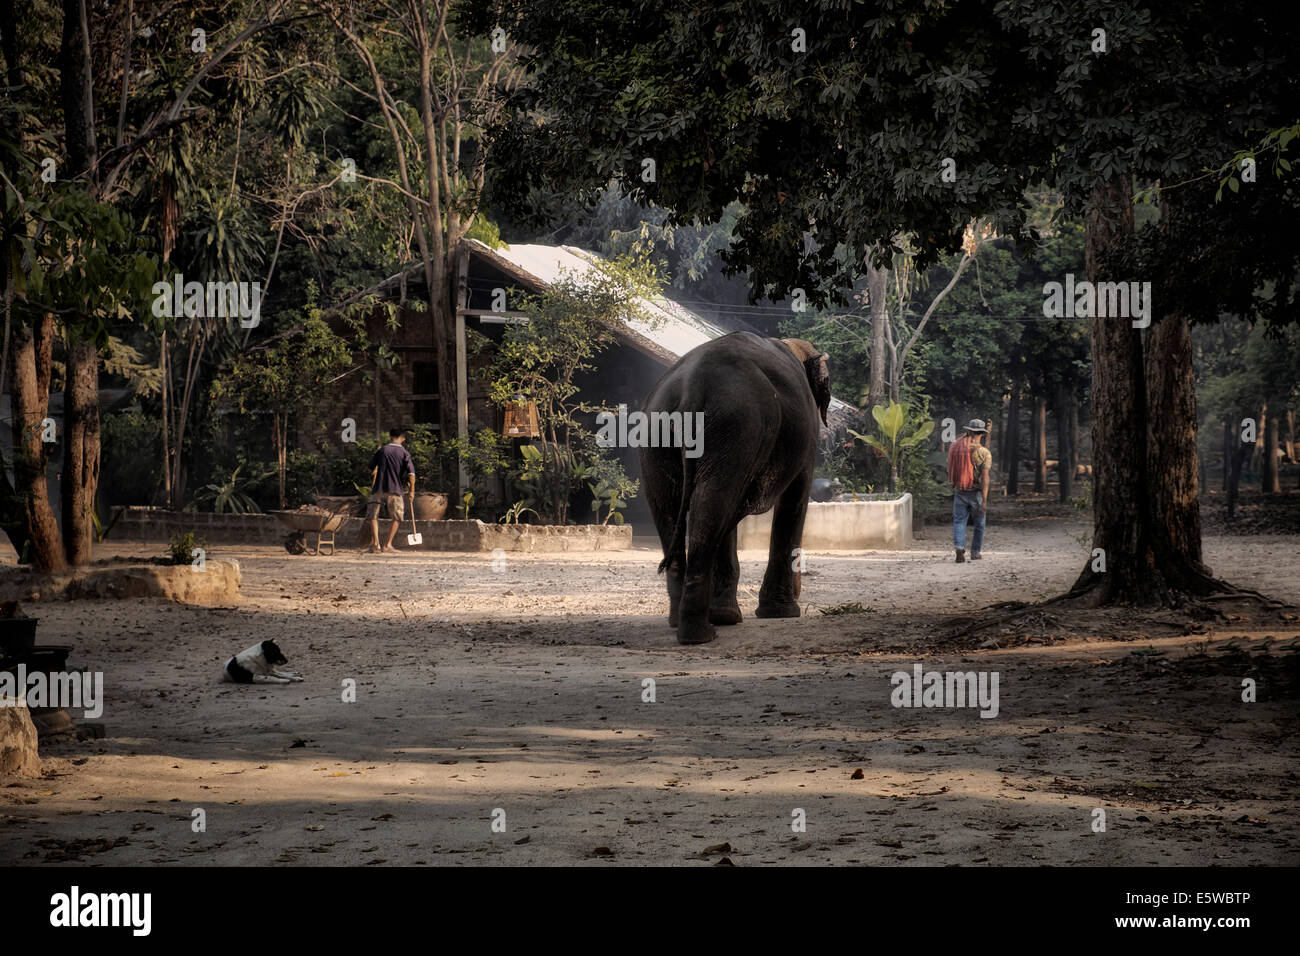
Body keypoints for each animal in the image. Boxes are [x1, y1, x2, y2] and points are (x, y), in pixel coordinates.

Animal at [640, 332, 831, 645]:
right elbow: (795, 497)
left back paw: (687, 622)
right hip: (736, 424)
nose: (799, 590)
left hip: (659, 434)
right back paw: (701, 634)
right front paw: (782, 613)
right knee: (714, 501)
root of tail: (692, 386)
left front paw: (729, 615)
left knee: (684, 506)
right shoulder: (807, 438)